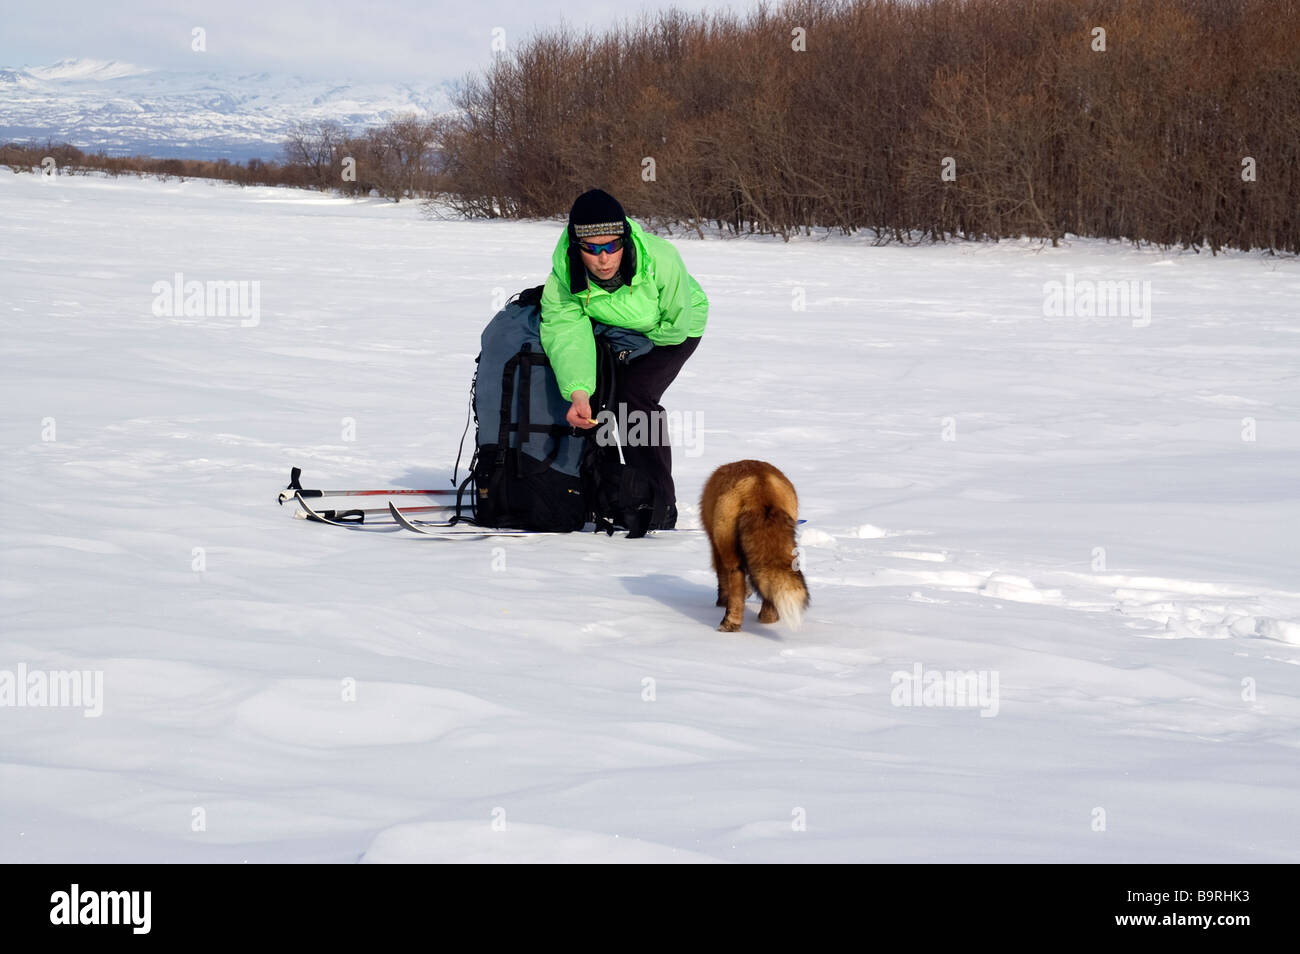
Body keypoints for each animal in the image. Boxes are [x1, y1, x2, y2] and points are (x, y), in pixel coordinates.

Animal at [700, 460, 809, 633]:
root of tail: (759, 483)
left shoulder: (715, 544)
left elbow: (722, 578)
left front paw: (723, 601)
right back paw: (768, 617)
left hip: (727, 545)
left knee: (736, 577)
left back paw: (730, 624)